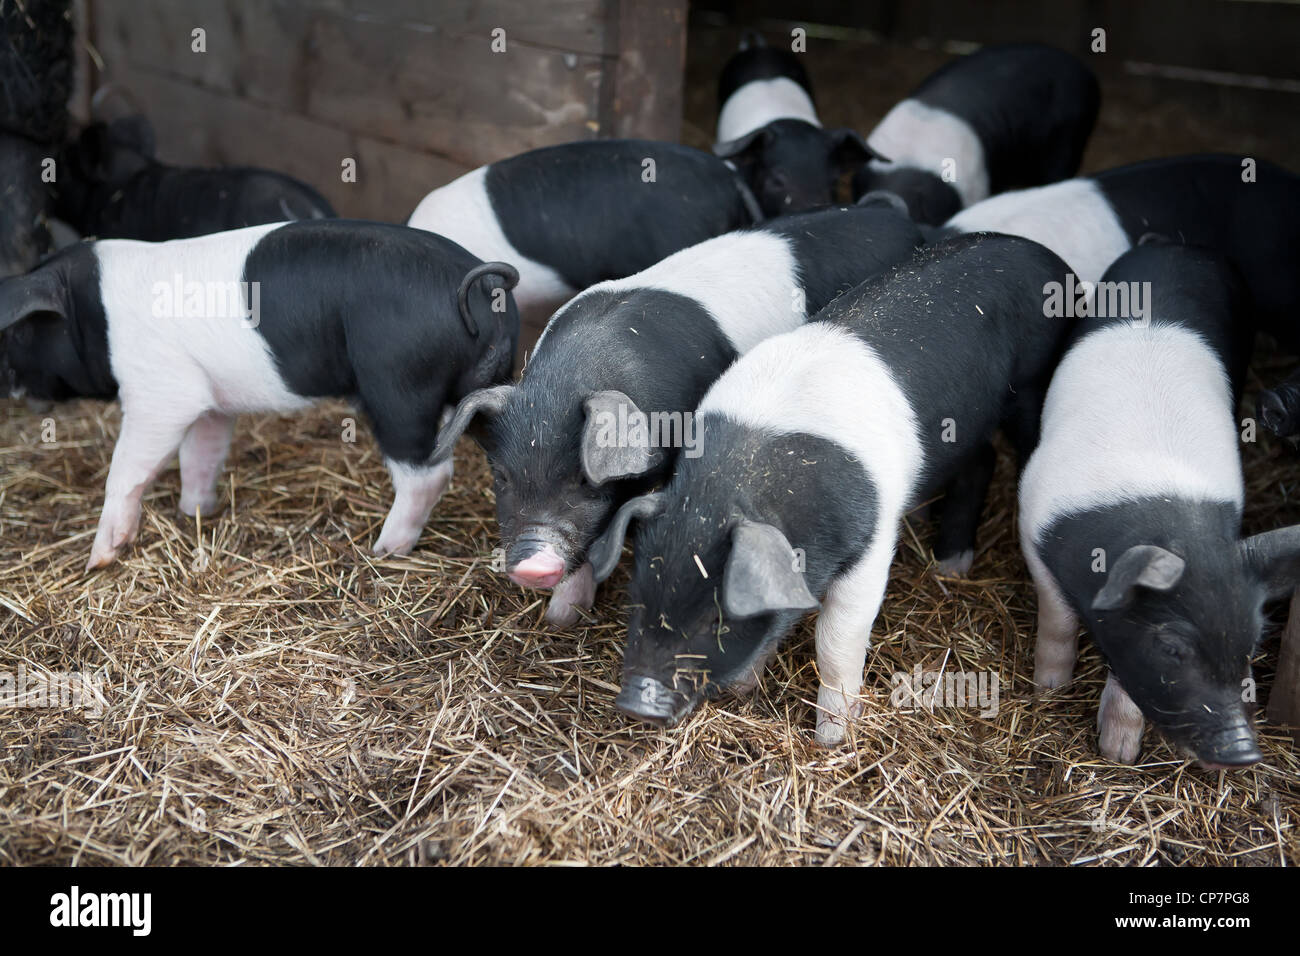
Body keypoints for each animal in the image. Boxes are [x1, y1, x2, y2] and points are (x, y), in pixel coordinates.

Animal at [0, 220, 519, 569]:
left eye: (22, 331)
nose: (9, 384)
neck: (94, 312)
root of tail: (475, 285)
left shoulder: (162, 391)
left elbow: (126, 468)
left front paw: (100, 558)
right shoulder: (210, 402)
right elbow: (201, 455)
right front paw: (195, 513)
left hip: (398, 387)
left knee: (427, 473)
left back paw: (382, 550)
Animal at [430, 201, 923, 626]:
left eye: (585, 482)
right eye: (501, 476)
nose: (533, 567)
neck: (573, 377)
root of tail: (900, 220)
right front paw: (560, 618)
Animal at [587, 233, 1075, 743]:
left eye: (716, 620)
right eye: (639, 597)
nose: (635, 703)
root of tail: (1043, 254)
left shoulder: (872, 539)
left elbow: (836, 638)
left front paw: (832, 739)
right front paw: (746, 688)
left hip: (1033, 383)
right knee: (980, 461)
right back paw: (950, 569)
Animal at [1018, 240, 1293, 768]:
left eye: (1251, 645)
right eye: (1172, 649)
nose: (1243, 752)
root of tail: (1178, 244)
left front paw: (1118, 754)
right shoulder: (1034, 522)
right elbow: (1058, 621)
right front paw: (1048, 690)